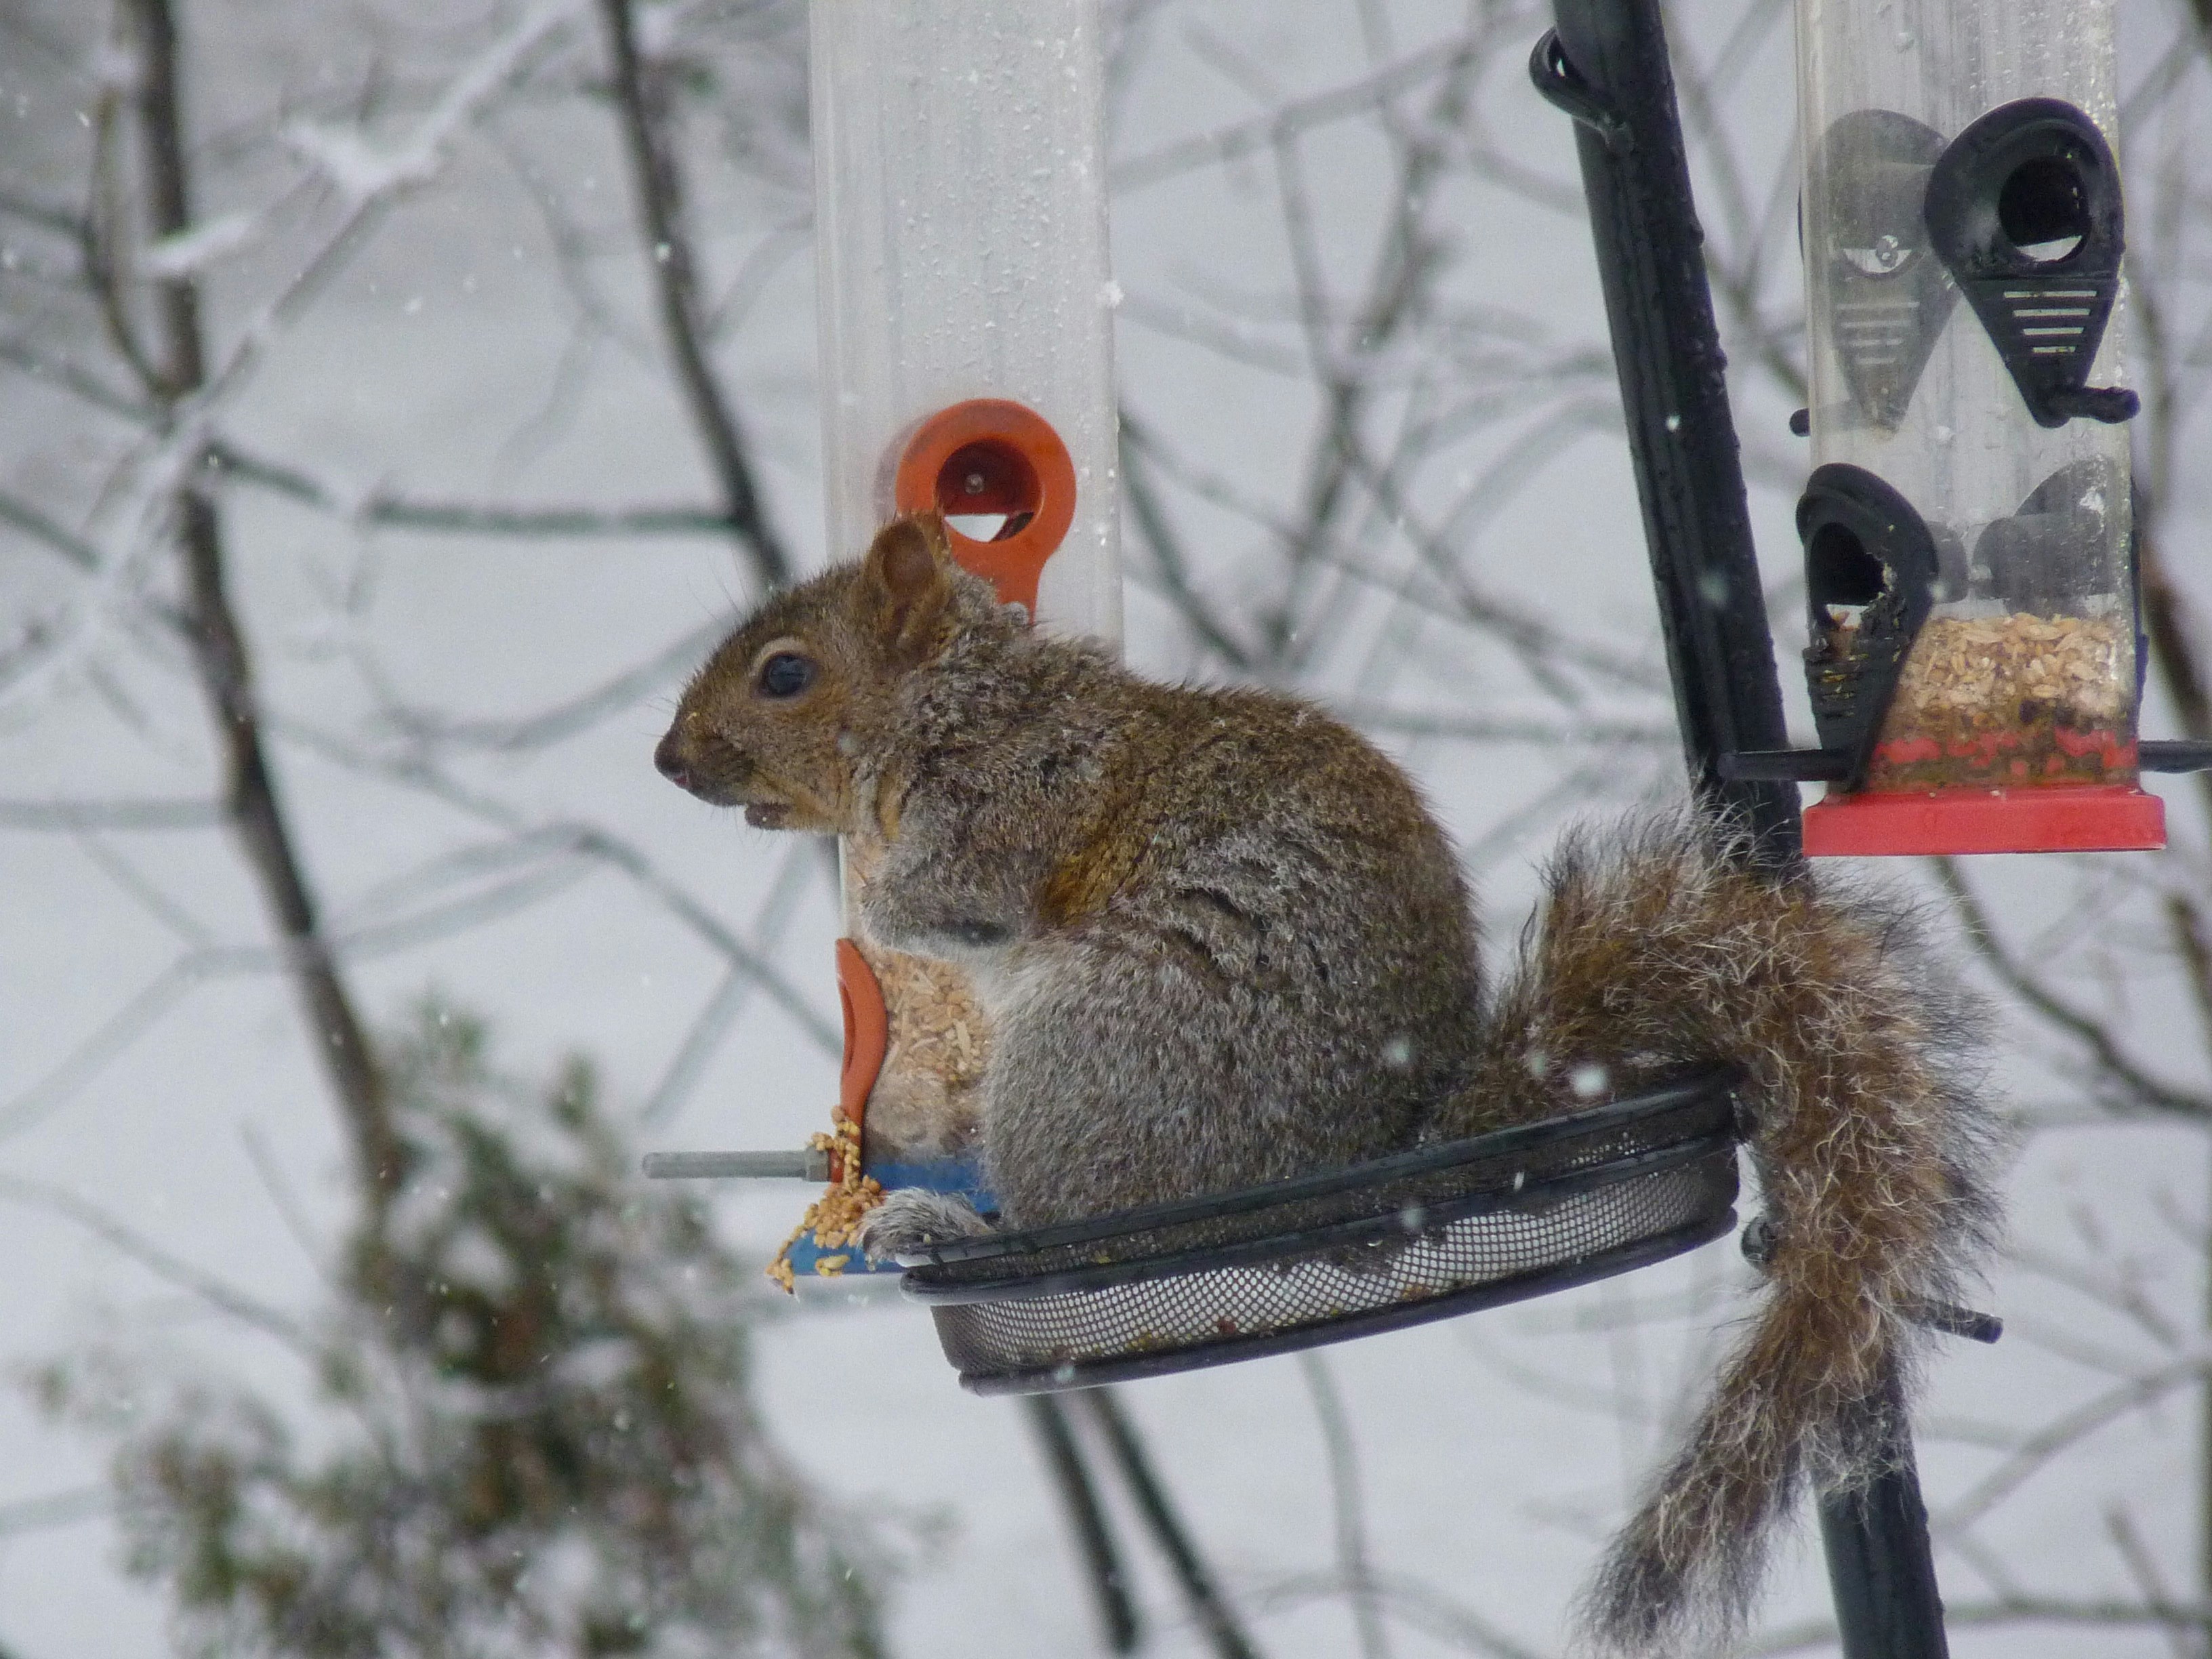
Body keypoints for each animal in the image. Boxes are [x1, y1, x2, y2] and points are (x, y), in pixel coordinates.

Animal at [654, 511, 2000, 1654]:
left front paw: (875, 893)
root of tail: (1368, 1163)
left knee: (1081, 1218)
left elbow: (943, 898)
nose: (669, 760)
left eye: (785, 674)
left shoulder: (1010, 812)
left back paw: (949, 1218)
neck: (956, 702)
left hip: (1093, 1054)